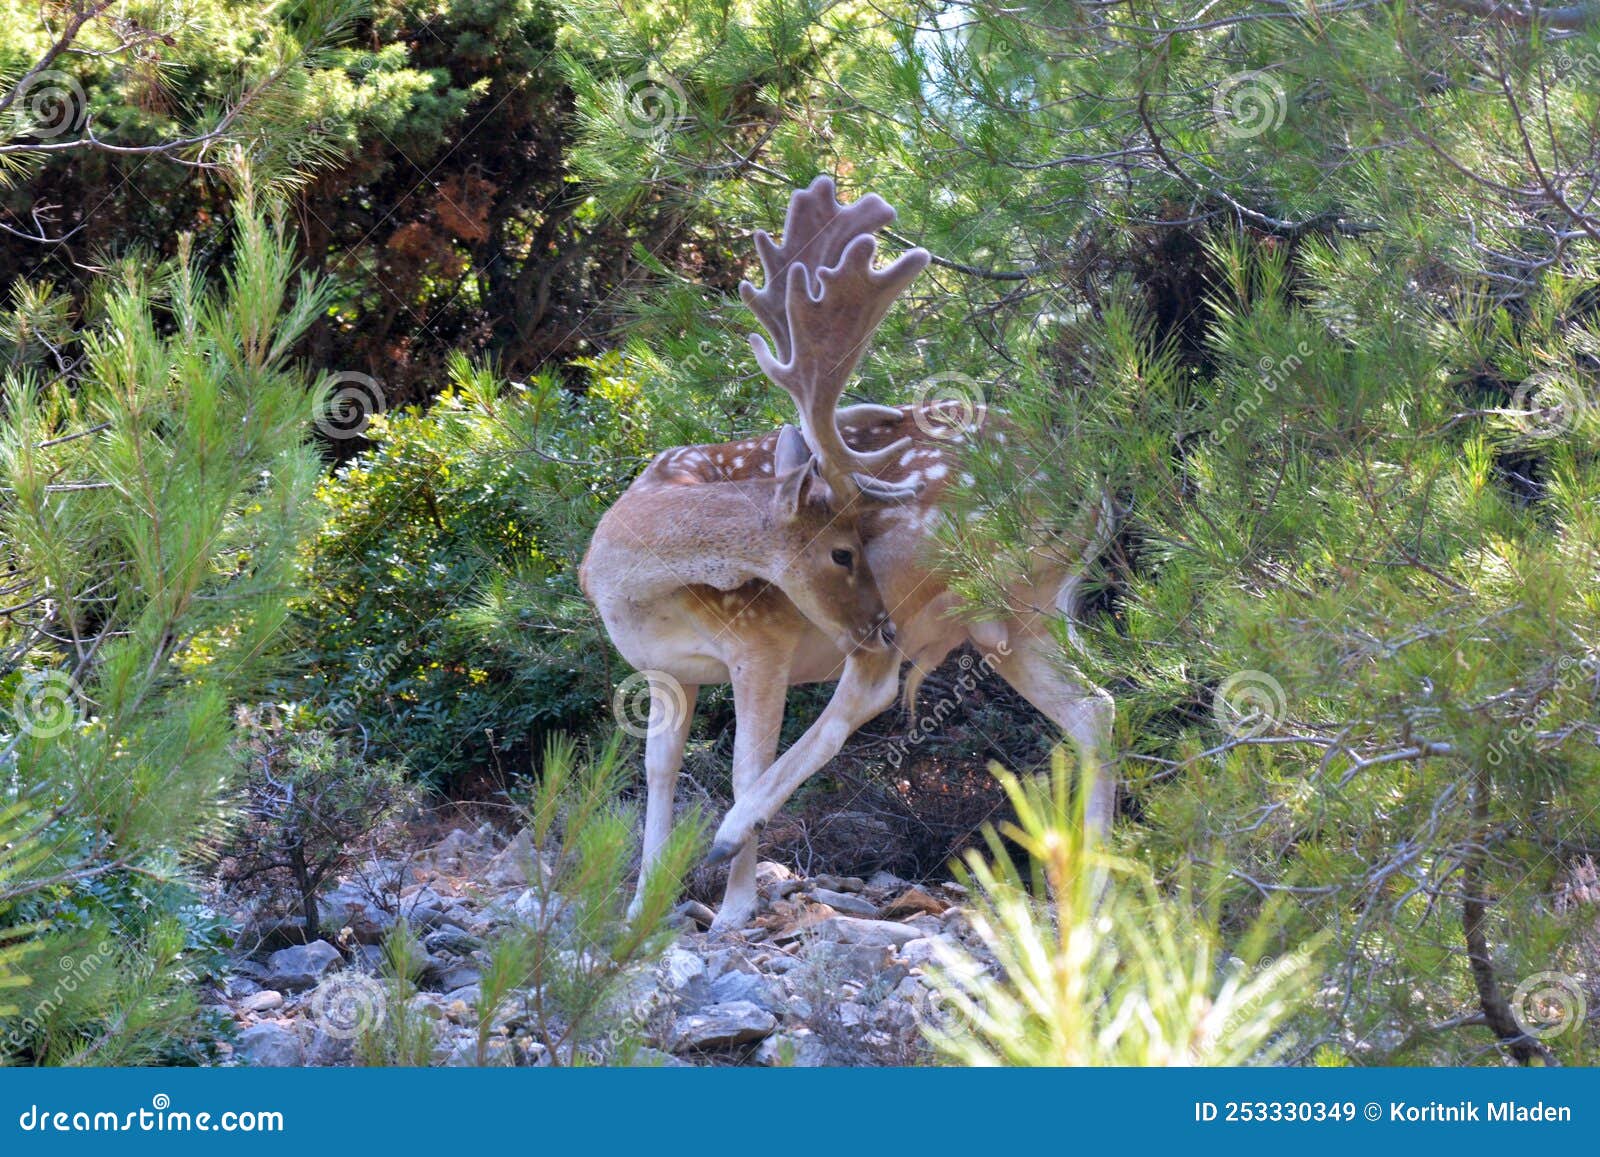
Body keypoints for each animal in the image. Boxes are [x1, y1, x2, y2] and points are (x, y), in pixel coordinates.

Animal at [579, 177, 1115, 931]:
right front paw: (638, 913)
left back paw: (730, 833)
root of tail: (1086, 480)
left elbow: (745, 763)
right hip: (1017, 614)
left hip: (932, 572)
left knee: (874, 685)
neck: (629, 584)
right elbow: (657, 770)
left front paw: (734, 907)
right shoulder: (664, 672)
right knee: (1094, 707)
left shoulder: (760, 642)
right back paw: (1095, 899)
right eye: (840, 552)